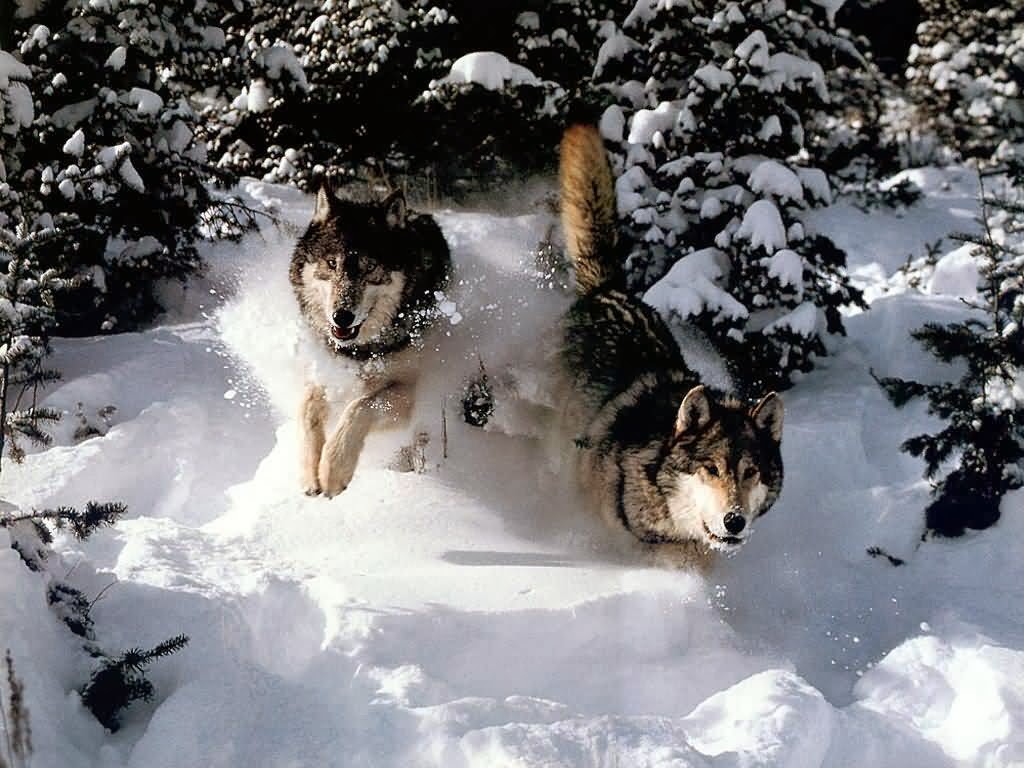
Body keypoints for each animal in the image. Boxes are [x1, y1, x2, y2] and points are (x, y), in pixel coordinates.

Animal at [290, 184, 450, 497]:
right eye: (332, 263)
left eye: (370, 267)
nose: (342, 317)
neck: (359, 351)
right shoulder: (325, 374)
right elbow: (305, 411)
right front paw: (308, 473)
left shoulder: (408, 391)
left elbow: (359, 407)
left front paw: (333, 470)